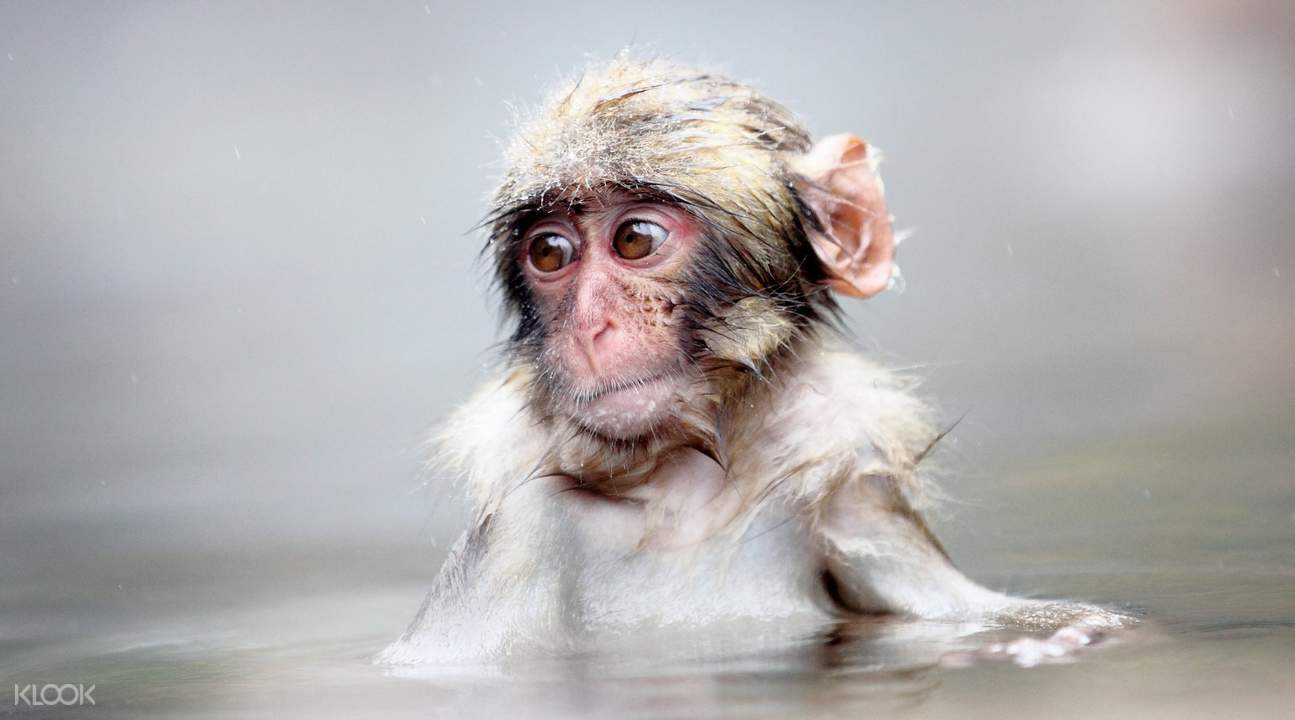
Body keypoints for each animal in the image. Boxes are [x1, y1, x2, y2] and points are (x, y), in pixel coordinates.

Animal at [381, 57, 1132, 668]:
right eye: (549, 252)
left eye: (635, 238)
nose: (591, 327)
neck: (683, 503)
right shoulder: (518, 529)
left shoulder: (857, 512)